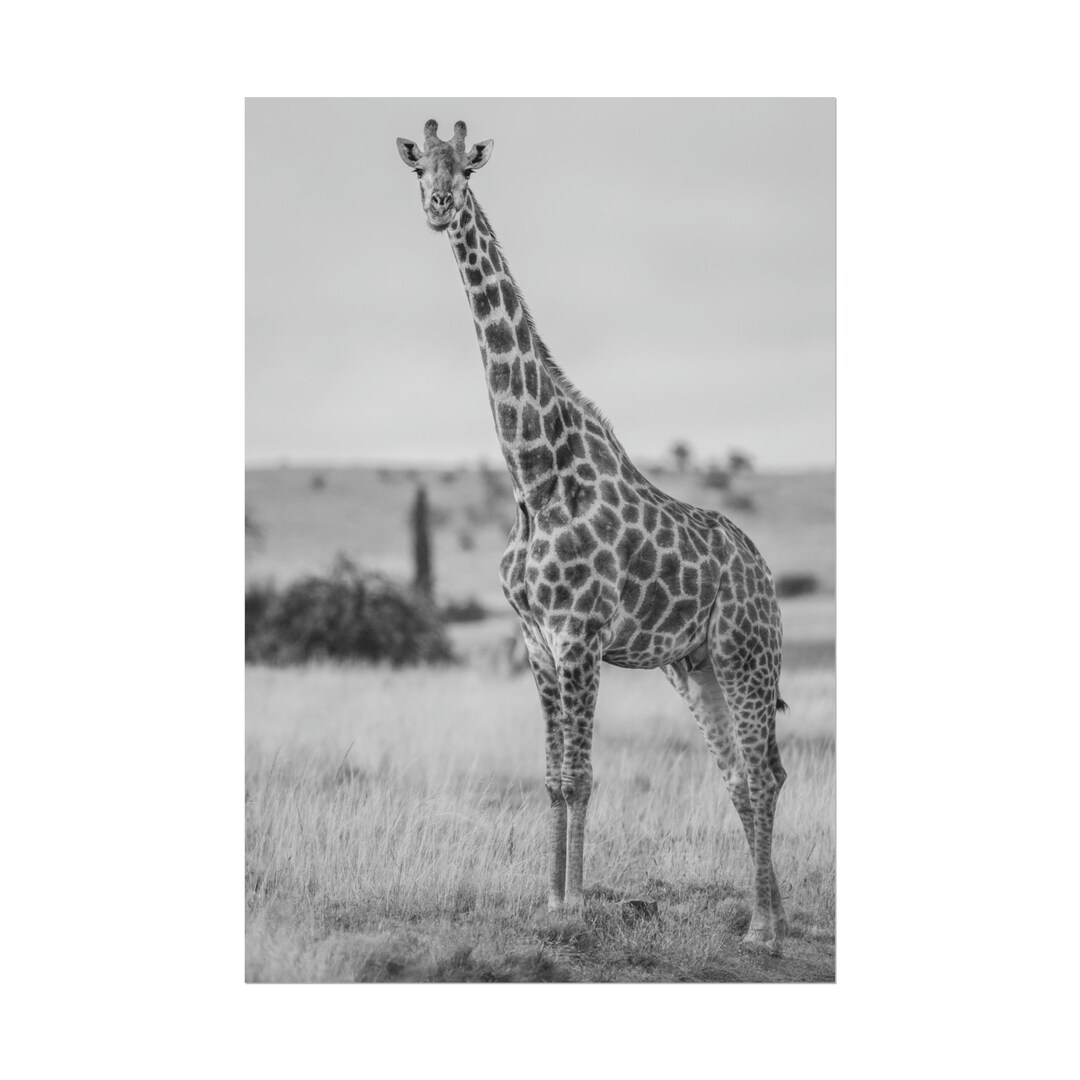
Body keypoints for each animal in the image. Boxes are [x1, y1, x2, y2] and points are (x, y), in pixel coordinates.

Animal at [396, 120, 790, 951]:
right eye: (418, 170)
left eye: (465, 168)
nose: (439, 207)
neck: (533, 474)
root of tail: (764, 572)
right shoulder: (537, 641)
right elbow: (553, 778)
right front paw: (551, 902)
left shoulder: (579, 634)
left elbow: (580, 776)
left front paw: (576, 907)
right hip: (694, 666)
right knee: (741, 776)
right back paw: (763, 918)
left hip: (746, 654)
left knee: (765, 771)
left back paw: (765, 930)